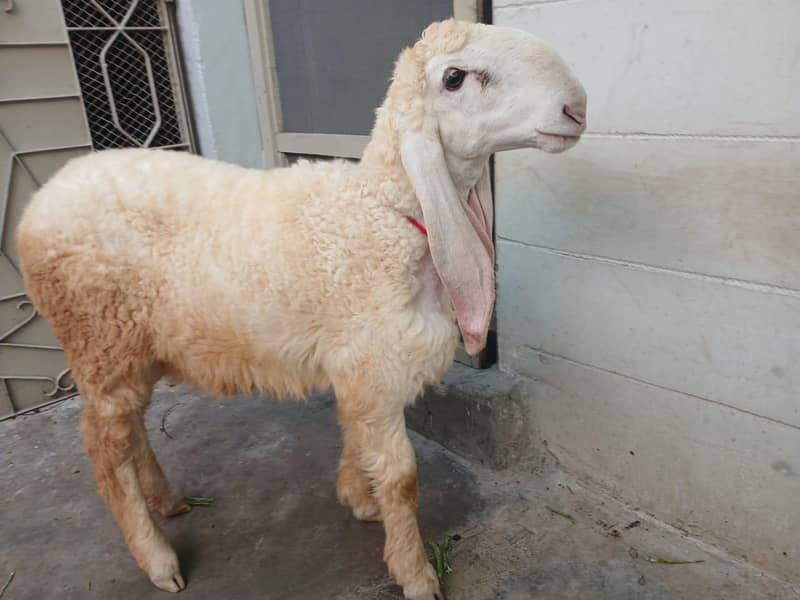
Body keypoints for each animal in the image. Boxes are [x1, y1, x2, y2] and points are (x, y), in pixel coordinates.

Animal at [16, 19, 586, 600]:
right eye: (455, 78)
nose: (576, 108)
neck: (385, 213)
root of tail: (42, 201)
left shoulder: (358, 366)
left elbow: (355, 434)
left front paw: (358, 497)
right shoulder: (374, 365)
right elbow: (402, 478)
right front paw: (415, 571)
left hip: (132, 345)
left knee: (132, 430)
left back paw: (166, 500)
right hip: (97, 340)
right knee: (106, 451)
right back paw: (157, 558)